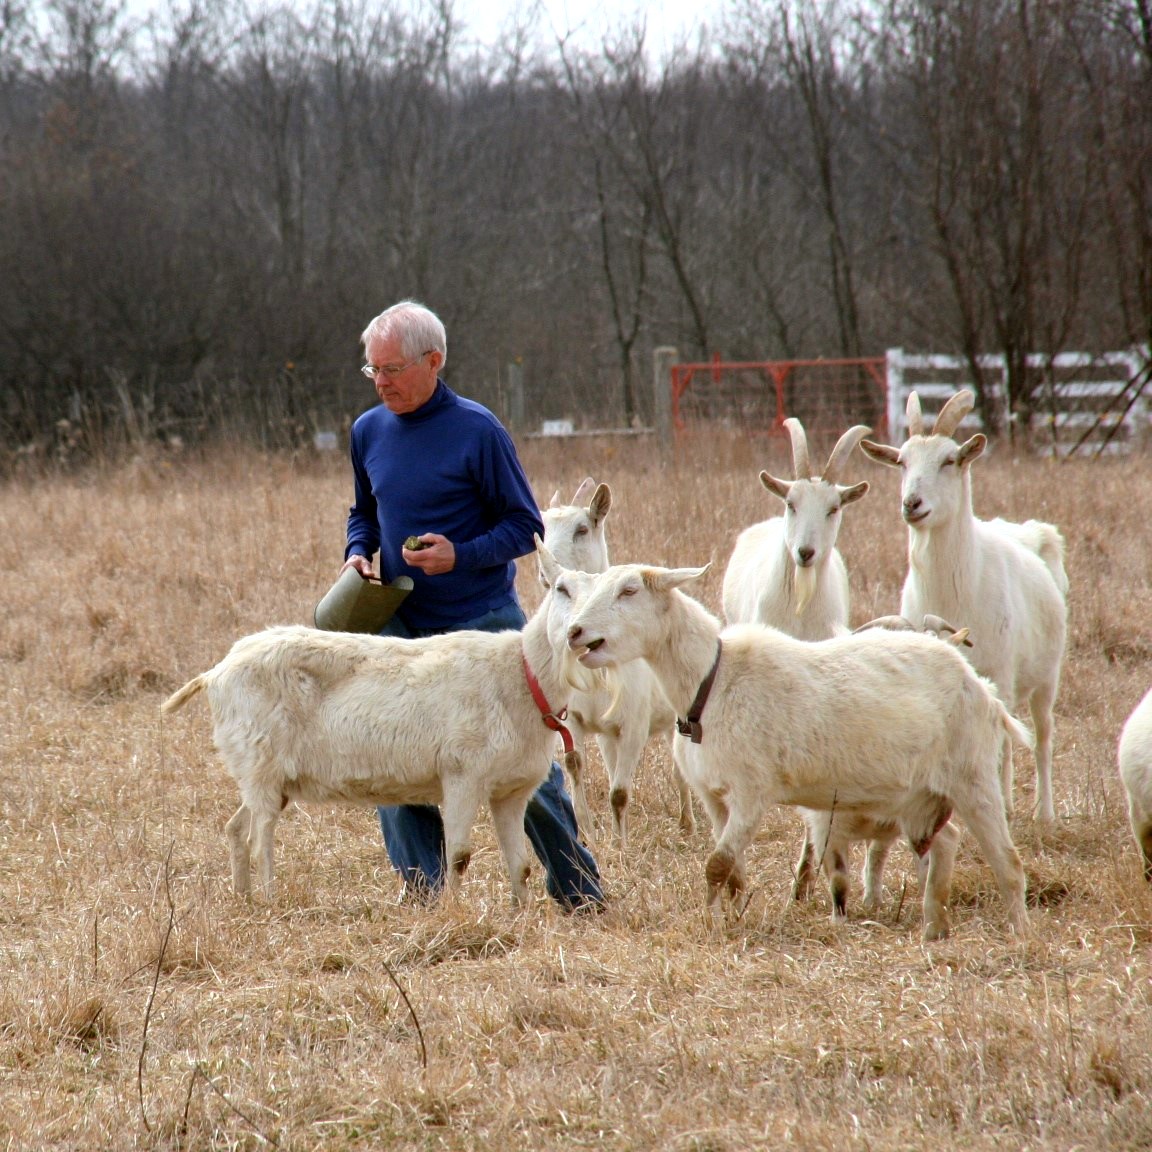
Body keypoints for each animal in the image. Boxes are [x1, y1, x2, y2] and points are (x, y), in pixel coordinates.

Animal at [160, 566, 596, 906]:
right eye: (561, 589)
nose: (578, 632)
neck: (520, 673)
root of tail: (216, 672)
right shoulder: (462, 776)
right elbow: (459, 856)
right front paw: (455, 913)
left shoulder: (511, 791)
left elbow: (520, 866)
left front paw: (520, 915)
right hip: (260, 762)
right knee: (258, 840)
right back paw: (269, 901)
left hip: (260, 774)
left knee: (236, 828)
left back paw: (244, 898)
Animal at [541, 477, 692, 846]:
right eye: (543, 525)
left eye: (582, 528)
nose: (547, 571)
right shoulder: (575, 719)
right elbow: (576, 765)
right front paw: (589, 834)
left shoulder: (634, 724)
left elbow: (620, 793)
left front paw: (621, 846)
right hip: (608, 734)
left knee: (678, 765)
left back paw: (687, 824)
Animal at [563, 559, 1033, 940]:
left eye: (629, 591)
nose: (574, 632)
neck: (712, 680)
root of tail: (982, 688)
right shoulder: (714, 797)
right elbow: (732, 871)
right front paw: (733, 914)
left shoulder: (752, 792)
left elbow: (717, 864)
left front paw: (711, 924)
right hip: (918, 794)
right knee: (948, 840)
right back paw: (935, 927)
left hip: (973, 776)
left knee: (1007, 861)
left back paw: (1019, 935)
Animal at [861, 389, 1068, 823]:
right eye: (902, 462)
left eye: (949, 460)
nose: (912, 504)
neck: (954, 591)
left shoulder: (999, 670)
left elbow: (1003, 742)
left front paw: (1000, 805)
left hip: (1047, 675)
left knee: (1041, 736)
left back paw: (1043, 812)